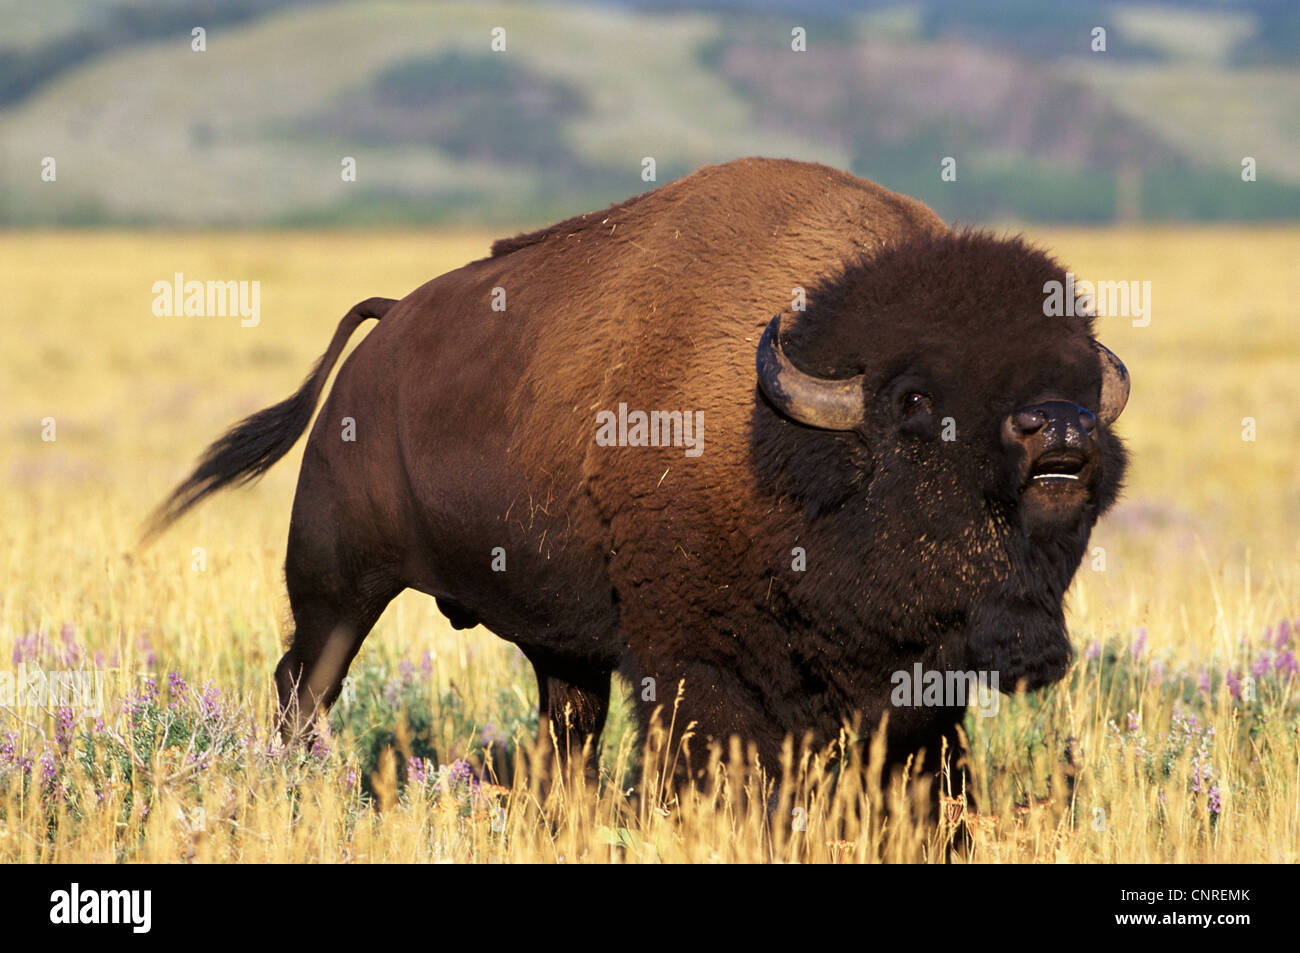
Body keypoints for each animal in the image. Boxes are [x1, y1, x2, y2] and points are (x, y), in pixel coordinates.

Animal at [150, 158, 1129, 802]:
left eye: (1083, 384)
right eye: (917, 399)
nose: (1061, 429)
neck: (776, 436)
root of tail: (383, 332)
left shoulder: (913, 691)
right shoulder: (696, 664)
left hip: (554, 638)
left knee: (566, 727)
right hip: (337, 586)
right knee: (302, 686)